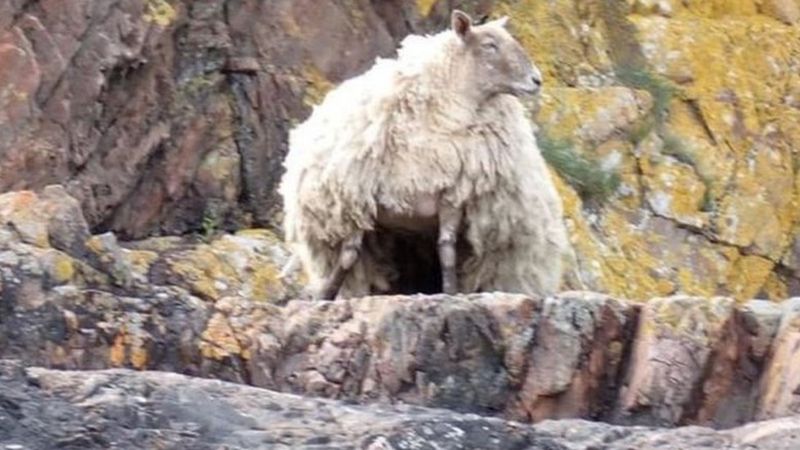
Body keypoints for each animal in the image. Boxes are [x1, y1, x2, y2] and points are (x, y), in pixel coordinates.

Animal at [279, 10, 573, 300]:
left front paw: (450, 293)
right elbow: (349, 255)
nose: (536, 80)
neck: (445, 116)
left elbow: (446, 250)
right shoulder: (358, 198)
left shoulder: (453, 196)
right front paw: (325, 295)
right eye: (490, 45)